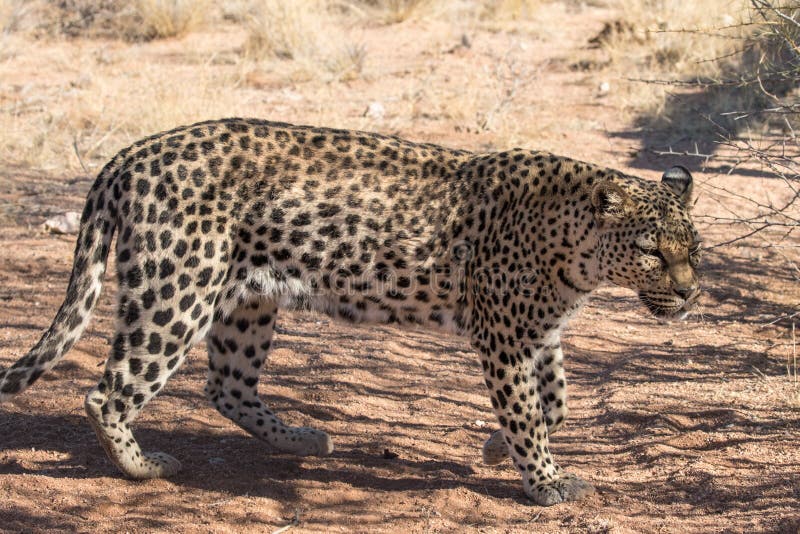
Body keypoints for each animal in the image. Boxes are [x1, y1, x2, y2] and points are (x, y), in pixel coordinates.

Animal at [0, 118, 701, 506]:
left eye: (693, 248)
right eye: (650, 251)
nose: (691, 293)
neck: (575, 253)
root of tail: (131, 154)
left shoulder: (536, 330)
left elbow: (554, 401)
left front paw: (496, 449)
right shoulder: (503, 335)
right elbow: (529, 408)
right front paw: (544, 481)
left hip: (247, 298)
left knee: (227, 386)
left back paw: (303, 438)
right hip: (179, 290)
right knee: (109, 391)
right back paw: (143, 467)